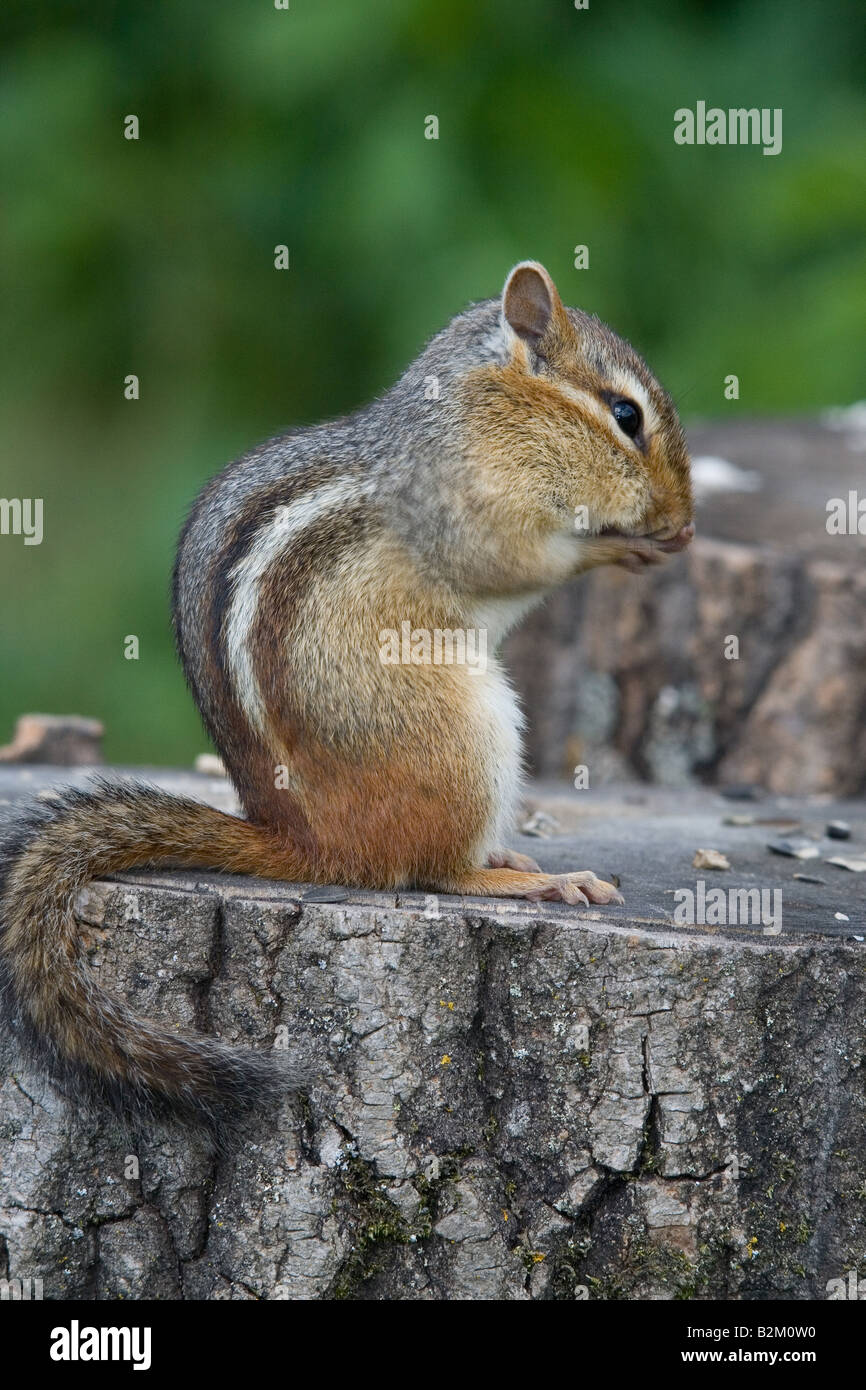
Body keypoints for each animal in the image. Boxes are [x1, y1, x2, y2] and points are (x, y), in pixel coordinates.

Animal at [0, 261, 693, 1127]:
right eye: (626, 415)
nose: (685, 521)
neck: (485, 412)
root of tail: (306, 841)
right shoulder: (472, 511)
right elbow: (519, 561)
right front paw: (621, 546)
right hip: (466, 736)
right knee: (430, 871)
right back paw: (530, 879)